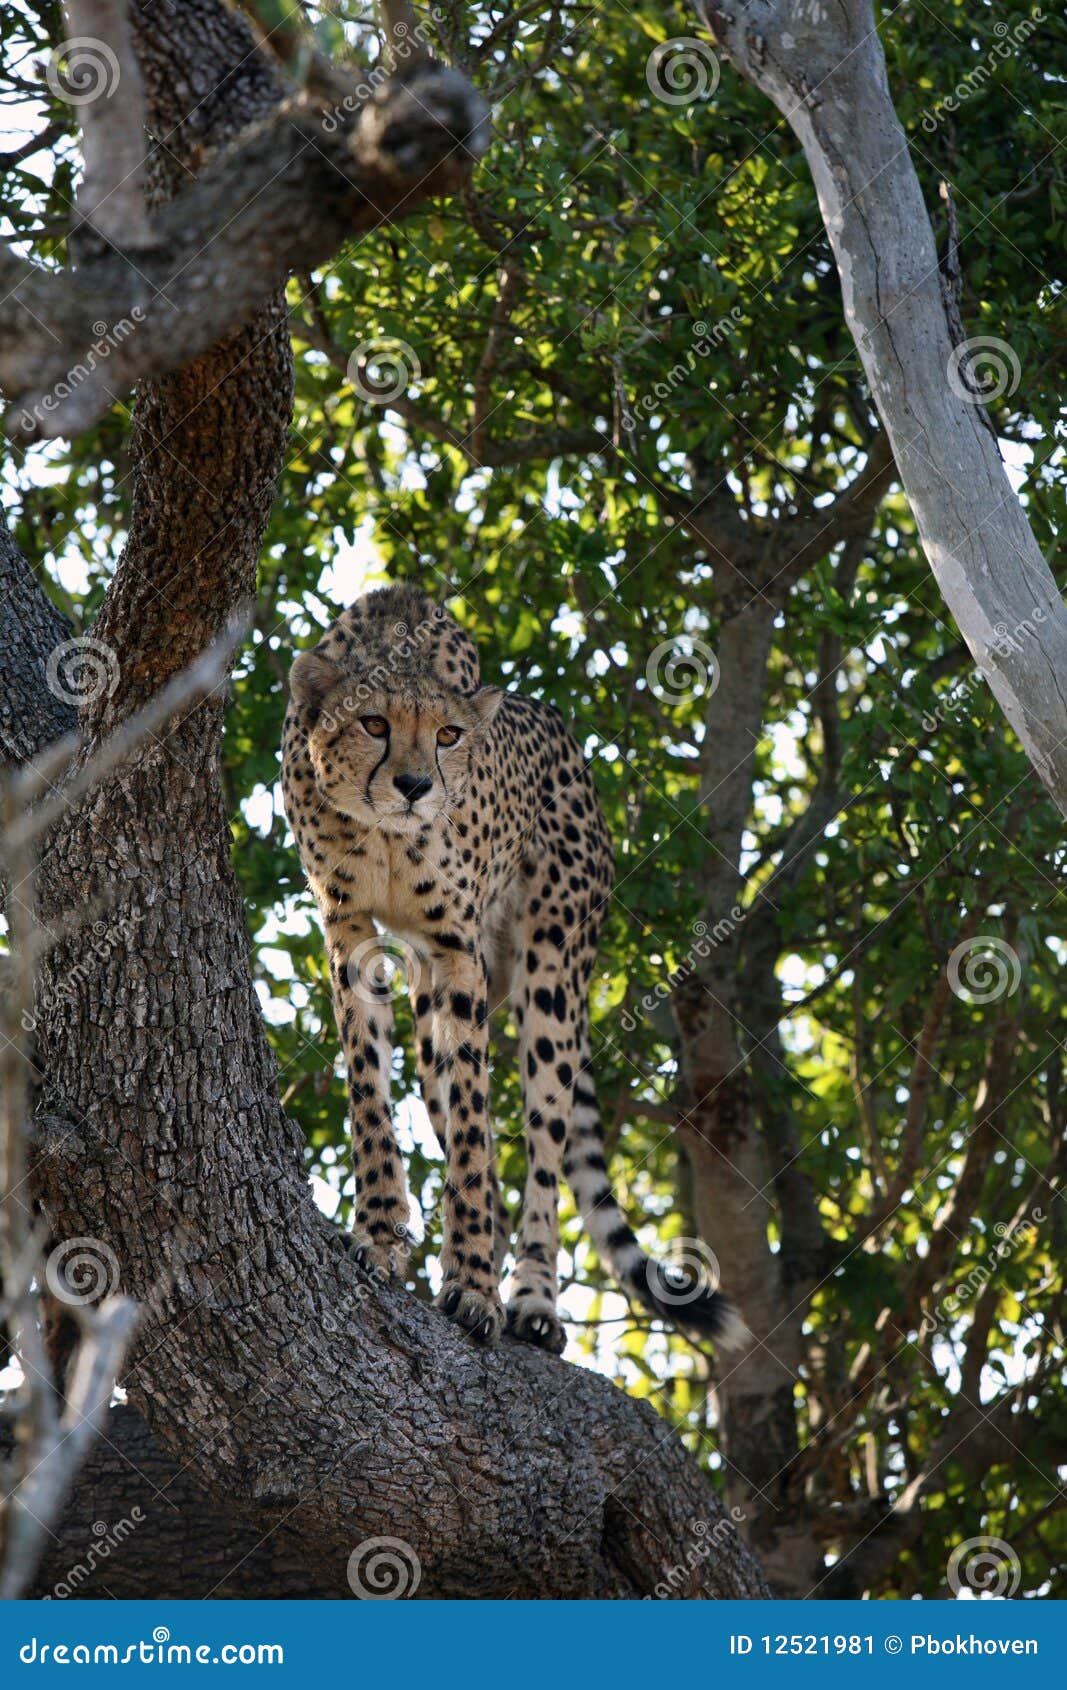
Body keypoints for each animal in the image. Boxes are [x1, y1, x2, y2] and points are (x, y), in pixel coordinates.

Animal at [280, 583, 746, 1354]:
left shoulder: (454, 950)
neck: (384, 836)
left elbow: (477, 1131)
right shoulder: (350, 935)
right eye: (373, 724)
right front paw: (380, 1233)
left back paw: (531, 1297)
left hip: (553, 969)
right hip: (435, 1009)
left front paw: (472, 1285)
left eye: (448, 735)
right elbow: (372, 1094)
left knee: (544, 1146)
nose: (414, 785)